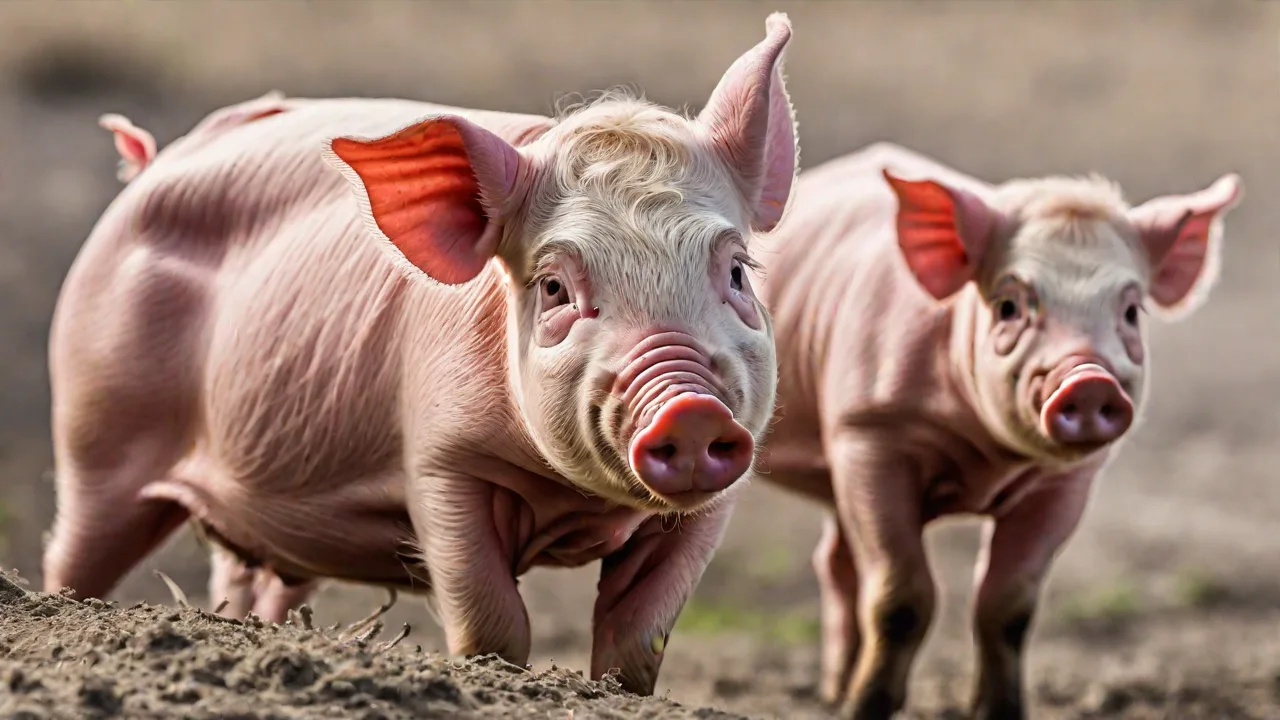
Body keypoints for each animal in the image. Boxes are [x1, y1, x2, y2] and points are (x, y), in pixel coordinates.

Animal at [43, 14, 800, 695]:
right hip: (95, 429)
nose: (692, 408)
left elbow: (639, 633)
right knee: (76, 550)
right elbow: (492, 619)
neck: (571, 500)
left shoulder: (710, 506)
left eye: (737, 272)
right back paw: (59, 618)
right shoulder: (441, 458)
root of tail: (154, 162)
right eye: (555, 287)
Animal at [752, 142, 1242, 719]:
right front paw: (866, 710)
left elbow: (1009, 604)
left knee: (835, 559)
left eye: (1131, 312)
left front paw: (1000, 711)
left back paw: (834, 691)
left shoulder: (1067, 481)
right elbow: (901, 596)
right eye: (1008, 306)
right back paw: (837, 697)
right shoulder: (866, 431)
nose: (1089, 380)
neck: (987, 459)